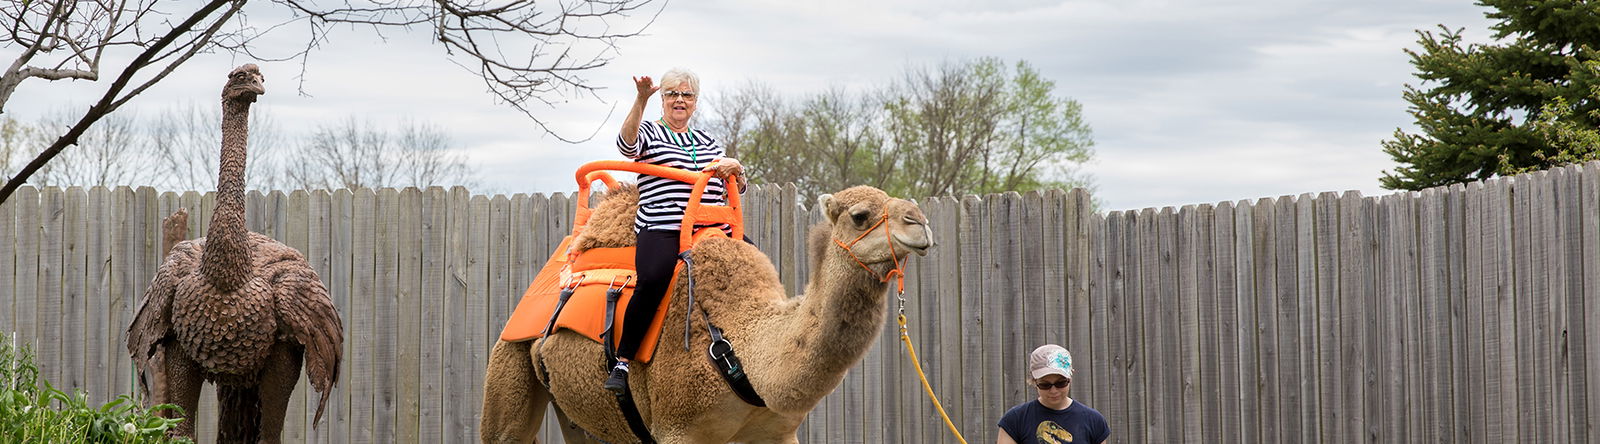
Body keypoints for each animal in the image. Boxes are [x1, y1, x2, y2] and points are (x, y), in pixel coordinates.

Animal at [126, 64, 343, 443]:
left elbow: (270, 435)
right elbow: (182, 432)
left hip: (255, 373)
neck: (228, 276)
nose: (256, 87)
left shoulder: (283, 354)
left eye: (261, 77)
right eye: (238, 76)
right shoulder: (179, 347)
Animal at [481, 183, 934, 443]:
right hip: (509, 366)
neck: (741, 346)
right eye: (860, 215)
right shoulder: (676, 429)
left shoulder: (776, 434)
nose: (920, 222)